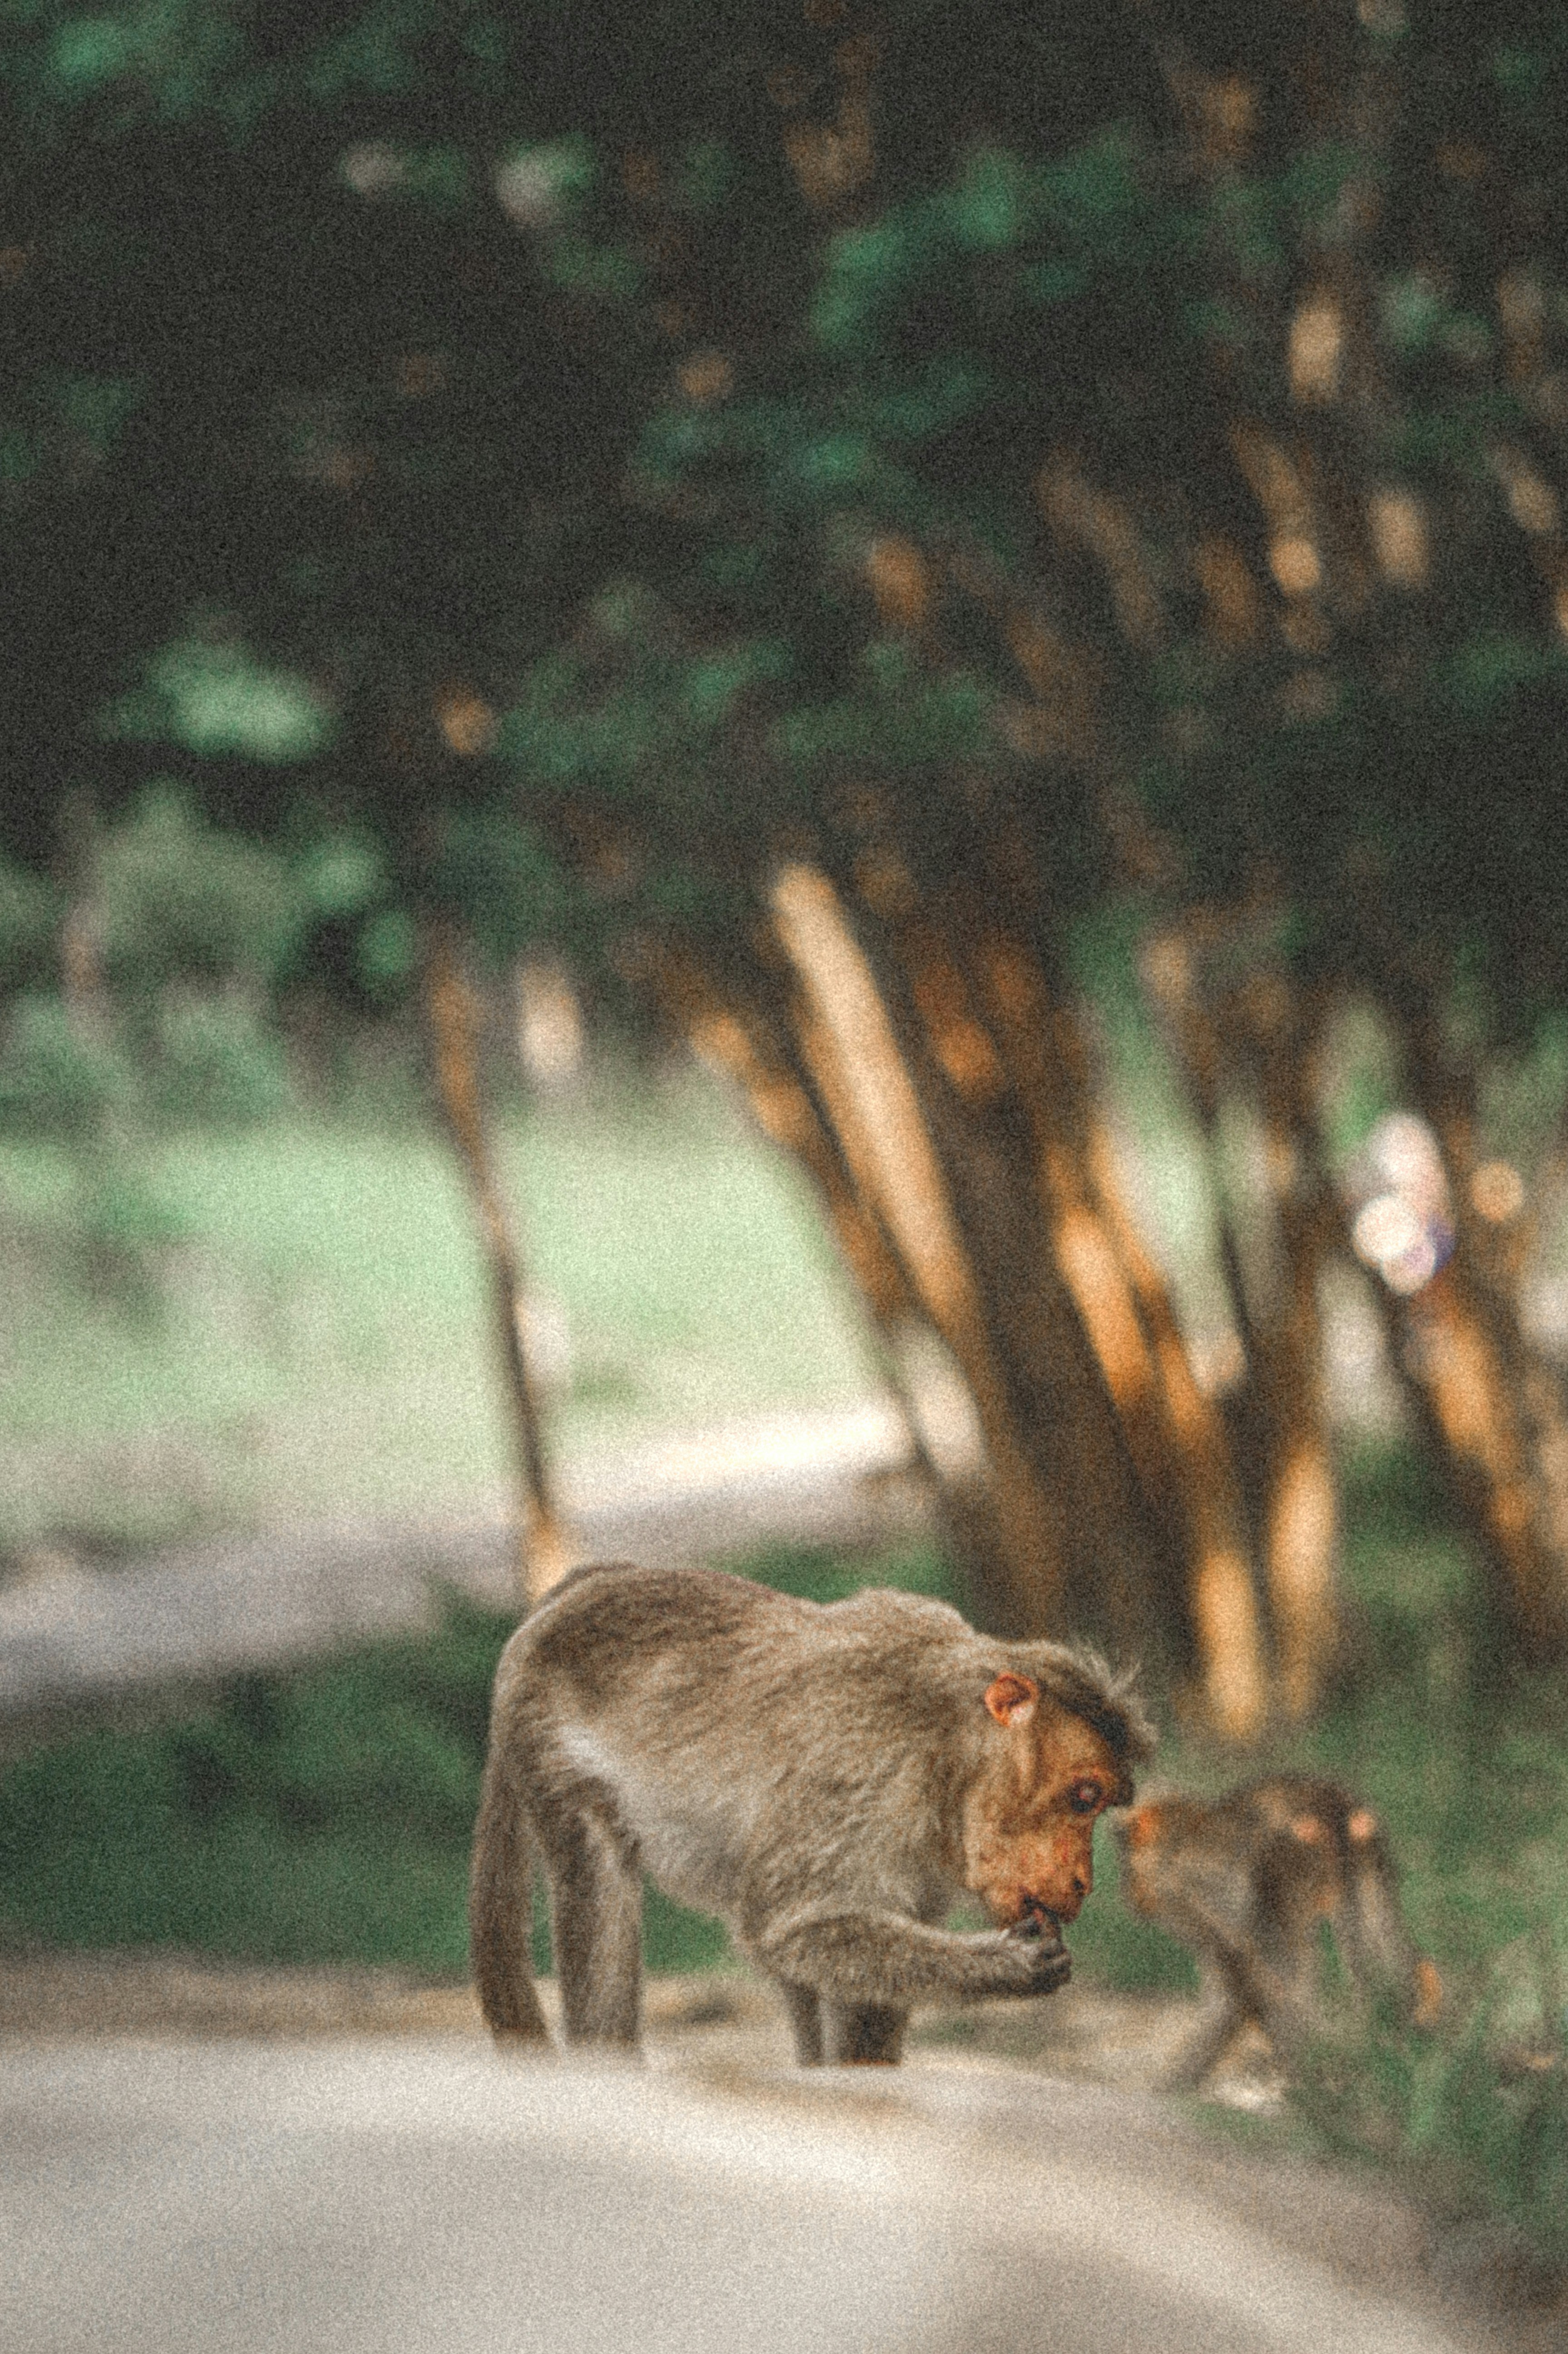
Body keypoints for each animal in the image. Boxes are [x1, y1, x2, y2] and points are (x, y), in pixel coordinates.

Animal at [470, 1561, 1155, 2065]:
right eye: (1083, 1797)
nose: (1082, 1881)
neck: (943, 1745)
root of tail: (573, 1595)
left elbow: (854, 1969)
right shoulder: (858, 1772)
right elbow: (787, 1929)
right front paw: (1004, 1966)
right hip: (548, 1742)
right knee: (600, 1876)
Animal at [1114, 1773, 1443, 2091]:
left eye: (1129, 1870)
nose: (1131, 1898)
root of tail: (1336, 1806)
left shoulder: (1204, 1895)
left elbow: (1244, 1983)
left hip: (1290, 1858)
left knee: (1289, 1961)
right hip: (1367, 1852)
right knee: (1384, 1943)